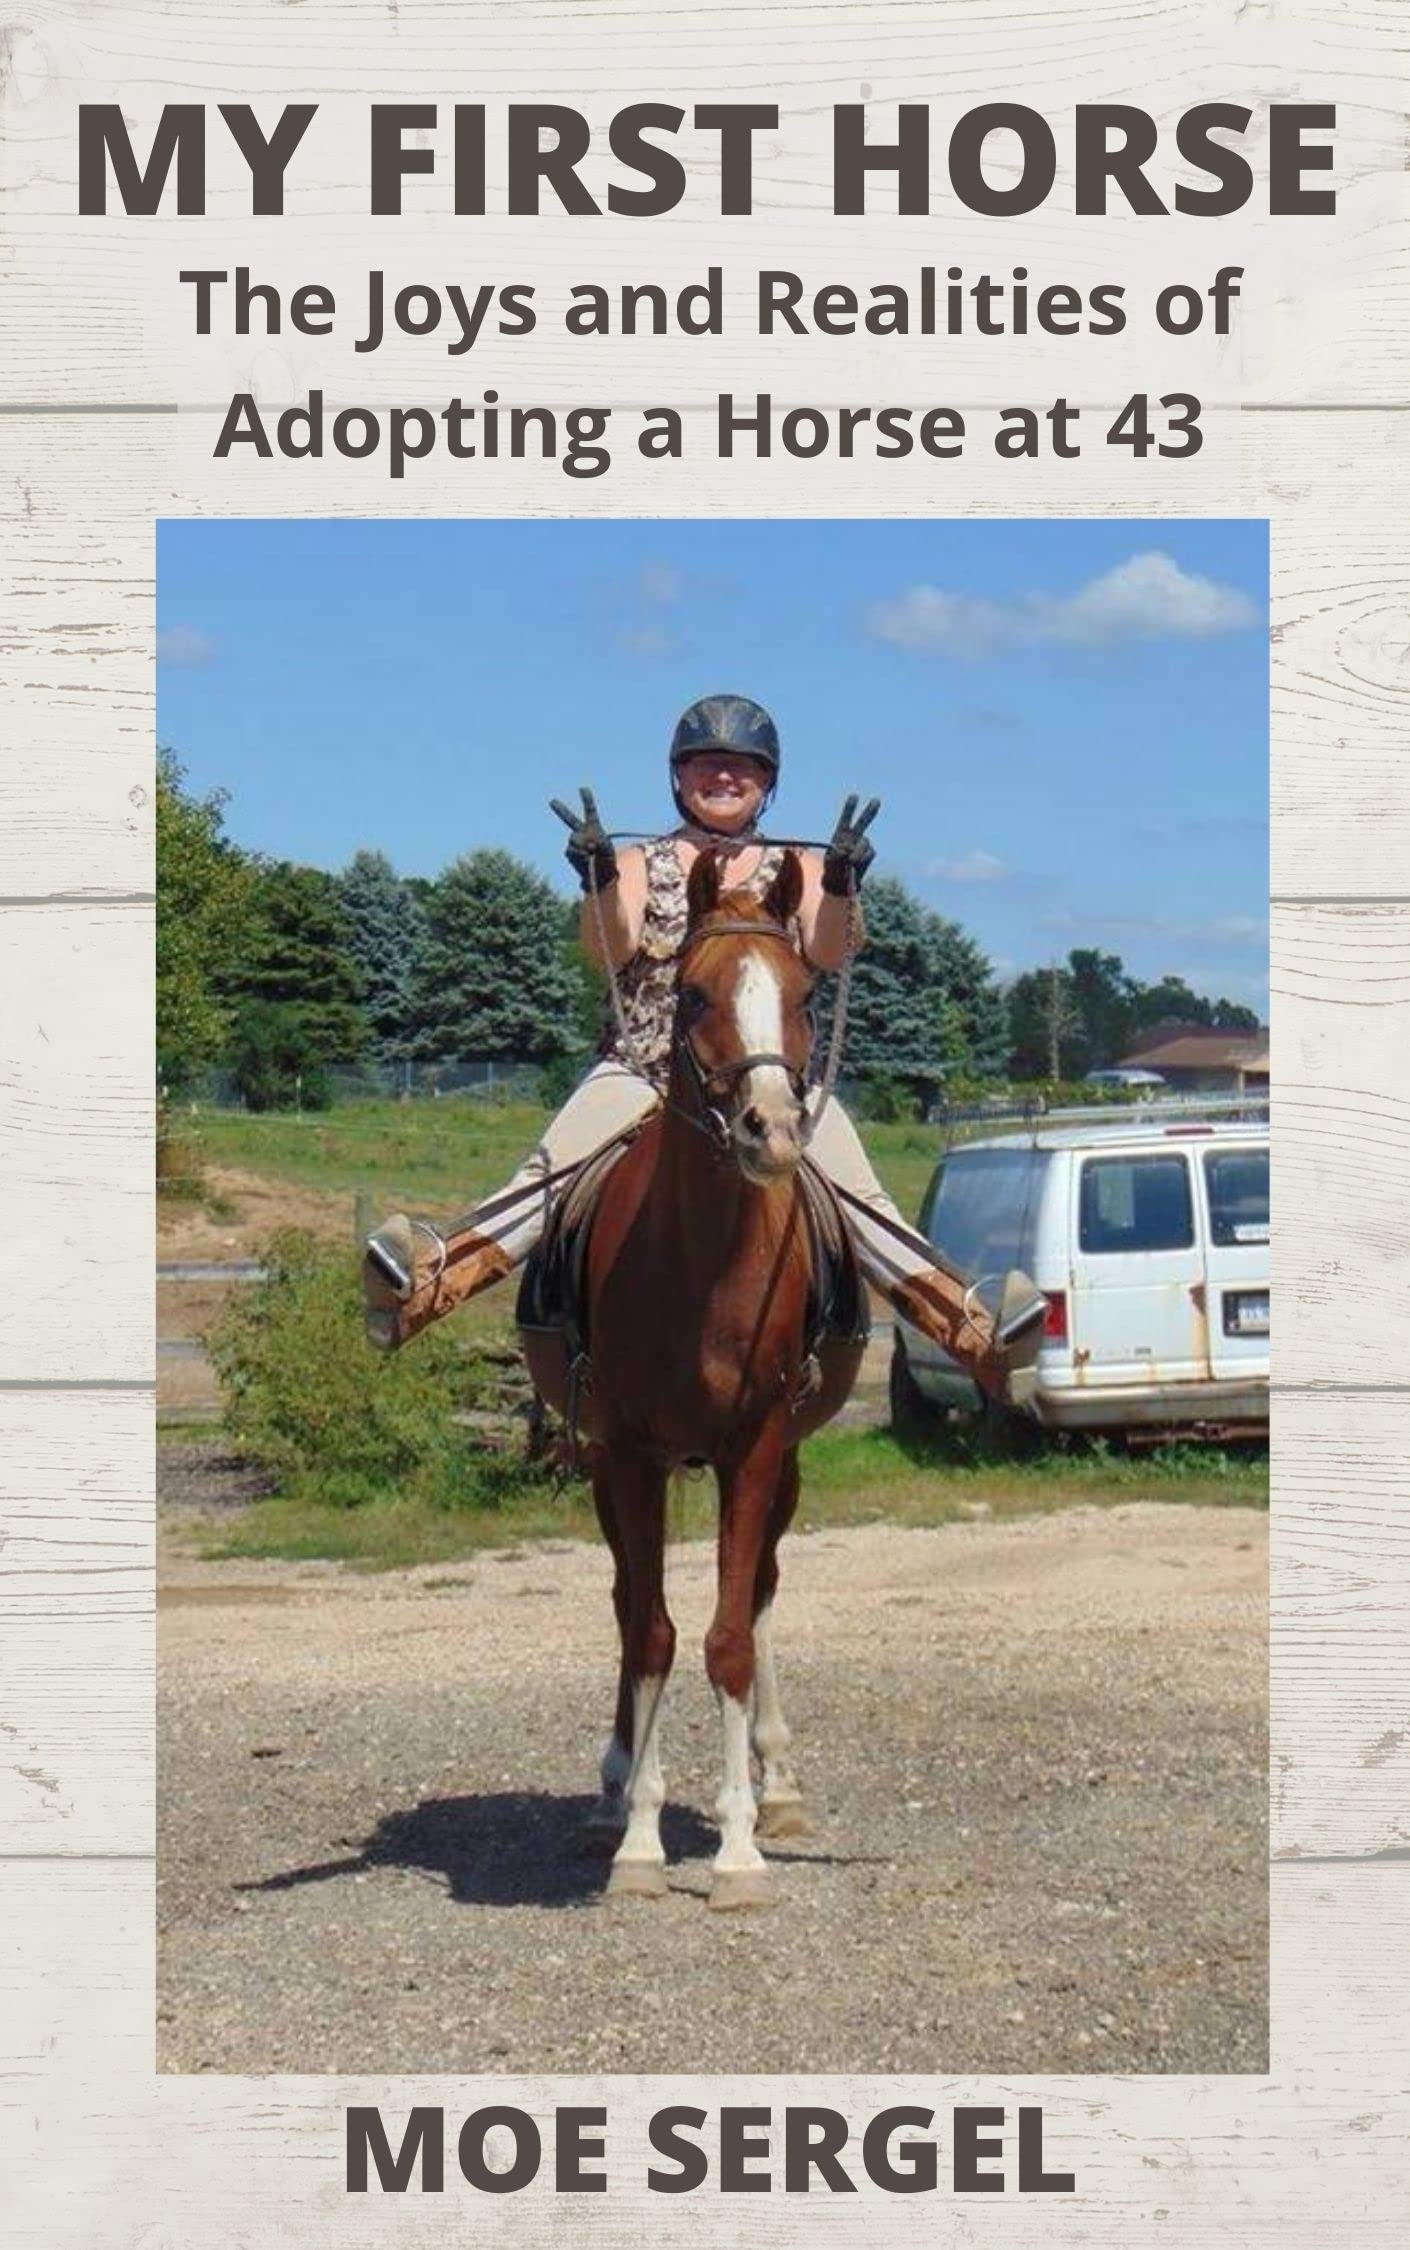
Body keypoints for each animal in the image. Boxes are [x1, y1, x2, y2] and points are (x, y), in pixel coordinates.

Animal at [520, 847, 865, 1910]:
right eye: (698, 993)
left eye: (803, 994)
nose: (771, 1130)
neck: (700, 1260)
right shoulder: (628, 1453)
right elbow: (654, 1635)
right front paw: (638, 1838)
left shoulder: (754, 1449)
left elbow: (728, 1639)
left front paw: (742, 1848)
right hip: (605, 1467)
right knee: (629, 1601)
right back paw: (615, 1787)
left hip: (780, 1471)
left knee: (757, 1596)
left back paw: (776, 1783)